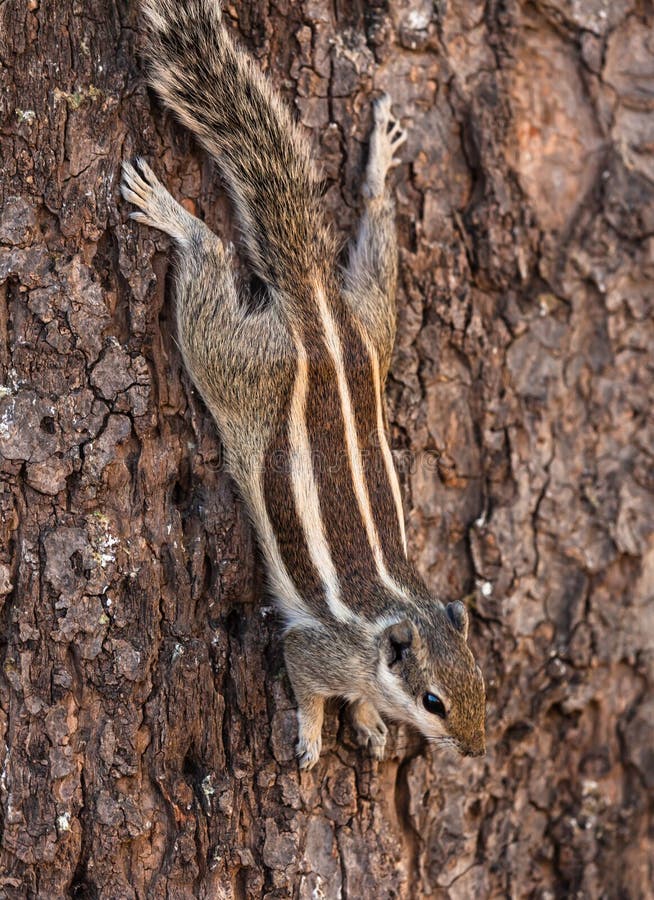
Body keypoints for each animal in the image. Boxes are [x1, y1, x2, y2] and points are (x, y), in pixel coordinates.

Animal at [121, 0, 486, 769]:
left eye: (482, 682)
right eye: (434, 700)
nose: (474, 749)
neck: (392, 620)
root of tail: (319, 306)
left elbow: (360, 704)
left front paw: (370, 724)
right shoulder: (316, 650)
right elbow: (310, 685)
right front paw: (316, 737)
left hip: (376, 317)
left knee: (377, 243)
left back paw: (379, 169)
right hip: (235, 365)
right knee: (209, 263)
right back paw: (175, 217)